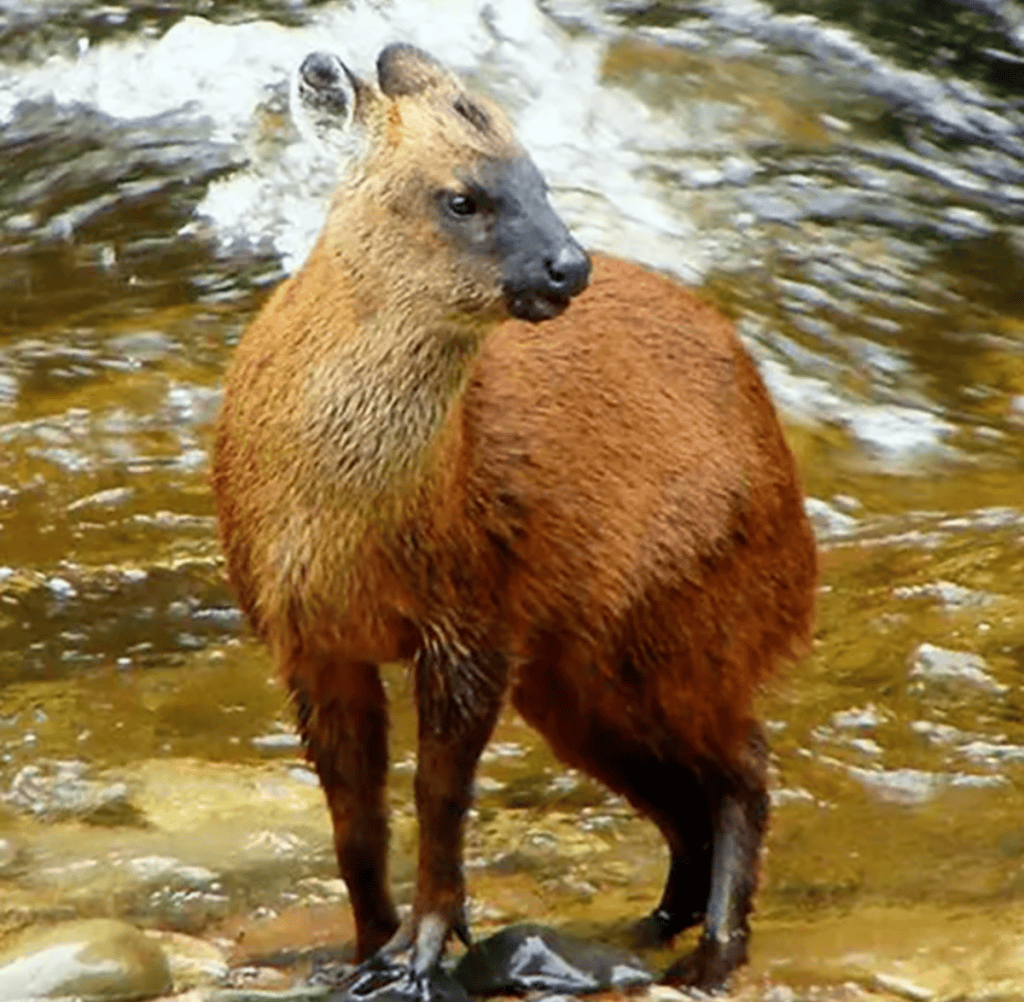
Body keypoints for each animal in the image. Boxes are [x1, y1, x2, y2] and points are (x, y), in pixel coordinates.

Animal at [212, 42, 817, 997]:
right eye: (462, 195)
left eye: (540, 175)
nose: (570, 267)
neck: (345, 521)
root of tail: (800, 549)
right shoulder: (303, 634)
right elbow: (353, 817)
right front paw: (362, 950)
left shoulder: (474, 615)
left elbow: (439, 796)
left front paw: (422, 947)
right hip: (582, 677)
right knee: (685, 796)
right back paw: (648, 928)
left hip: (683, 624)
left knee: (745, 767)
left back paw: (713, 954)